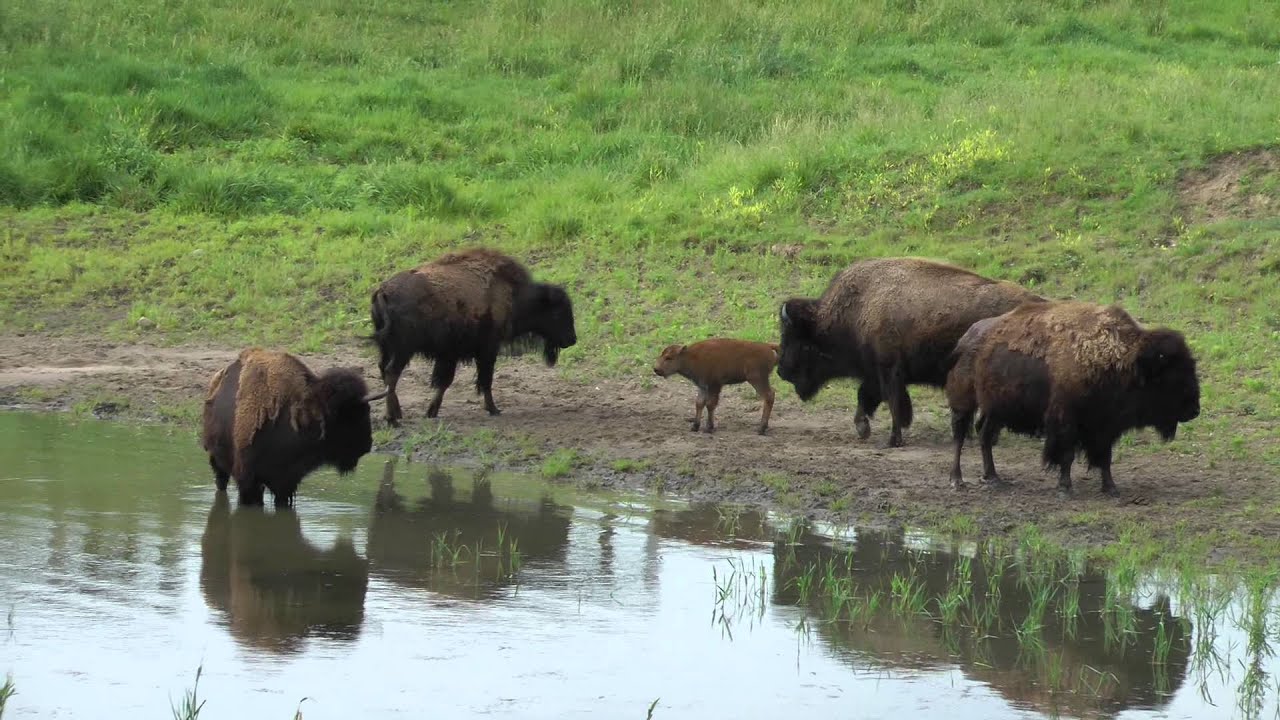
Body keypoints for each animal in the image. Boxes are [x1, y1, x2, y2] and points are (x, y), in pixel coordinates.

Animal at [201, 348, 385, 506]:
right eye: (358, 414)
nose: (367, 445)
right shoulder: (249, 481)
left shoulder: (287, 482)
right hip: (217, 461)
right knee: (221, 481)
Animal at [369, 247, 577, 423]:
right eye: (558, 312)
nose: (572, 339)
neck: (511, 293)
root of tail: (383, 291)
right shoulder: (486, 349)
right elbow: (483, 380)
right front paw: (493, 409)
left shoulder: (450, 354)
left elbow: (445, 382)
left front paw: (431, 412)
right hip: (403, 349)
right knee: (391, 373)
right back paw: (392, 419)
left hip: (388, 347)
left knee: (384, 371)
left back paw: (396, 413)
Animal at [777, 257, 1043, 447]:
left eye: (799, 342)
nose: (781, 372)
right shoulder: (875, 372)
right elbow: (866, 397)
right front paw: (863, 428)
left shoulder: (889, 371)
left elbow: (894, 405)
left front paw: (893, 440)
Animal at [944, 300, 1201, 496]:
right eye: (1172, 377)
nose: (1194, 410)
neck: (1124, 361)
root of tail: (966, 338)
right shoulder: (1065, 421)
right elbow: (1066, 455)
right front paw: (1065, 488)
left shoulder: (1105, 427)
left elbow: (1104, 458)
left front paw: (1111, 488)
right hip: (964, 402)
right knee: (959, 436)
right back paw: (957, 481)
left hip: (997, 408)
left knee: (984, 435)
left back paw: (993, 477)